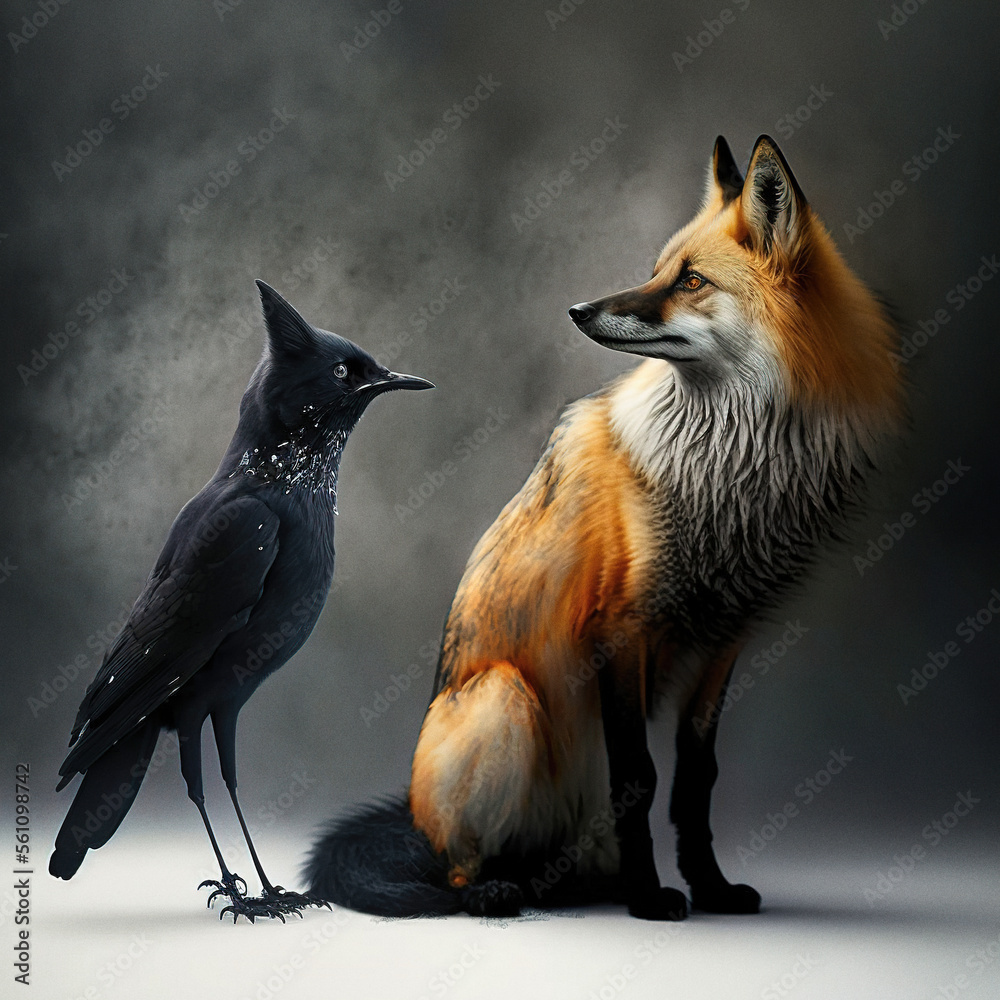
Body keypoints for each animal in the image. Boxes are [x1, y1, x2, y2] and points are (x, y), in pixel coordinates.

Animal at [306, 134, 905, 920]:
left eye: (691, 281)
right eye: (656, 269)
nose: (579, 309)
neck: (730, 474)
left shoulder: (724, 641)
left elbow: (694, 783)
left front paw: (709, 887)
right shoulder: (620, 633)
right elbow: (639, 782)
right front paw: (651, 898)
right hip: (506, 703)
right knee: (460, 870)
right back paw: (502, 889)